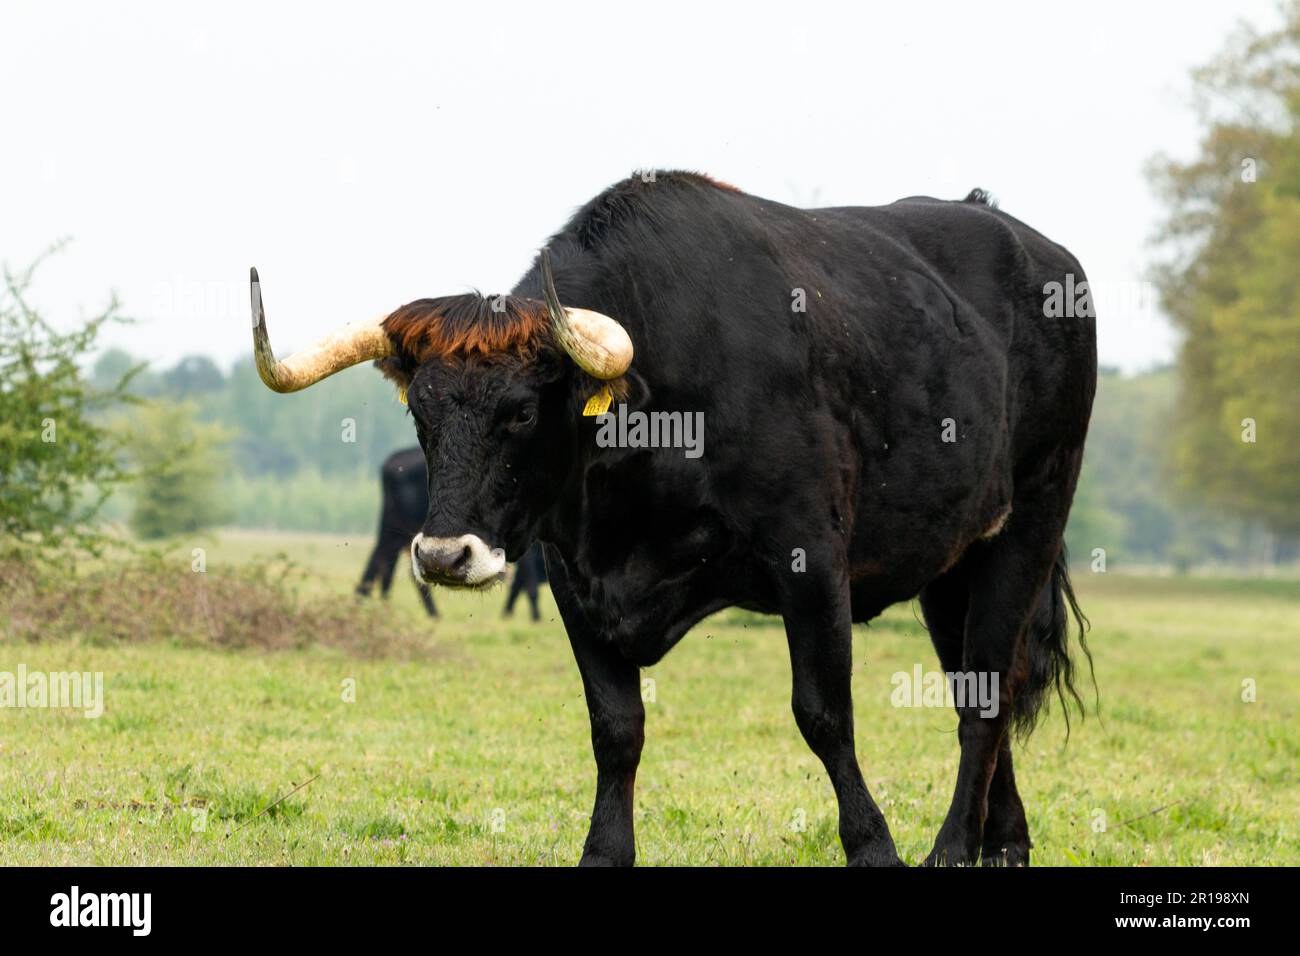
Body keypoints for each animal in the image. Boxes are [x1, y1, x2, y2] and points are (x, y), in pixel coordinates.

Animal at [247, 170, 1096, 867]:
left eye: (520, 412)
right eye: (421, 413)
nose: (444, 556)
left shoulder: (811, 560)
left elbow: (823, 712)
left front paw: (873, 847)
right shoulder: (572, 579)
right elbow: (616, 727)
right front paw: (603, 852)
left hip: (1030, 522)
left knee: (988, 692)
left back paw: (951, 849)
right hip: (951, 565)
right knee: (978, 681)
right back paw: (1002, 845)